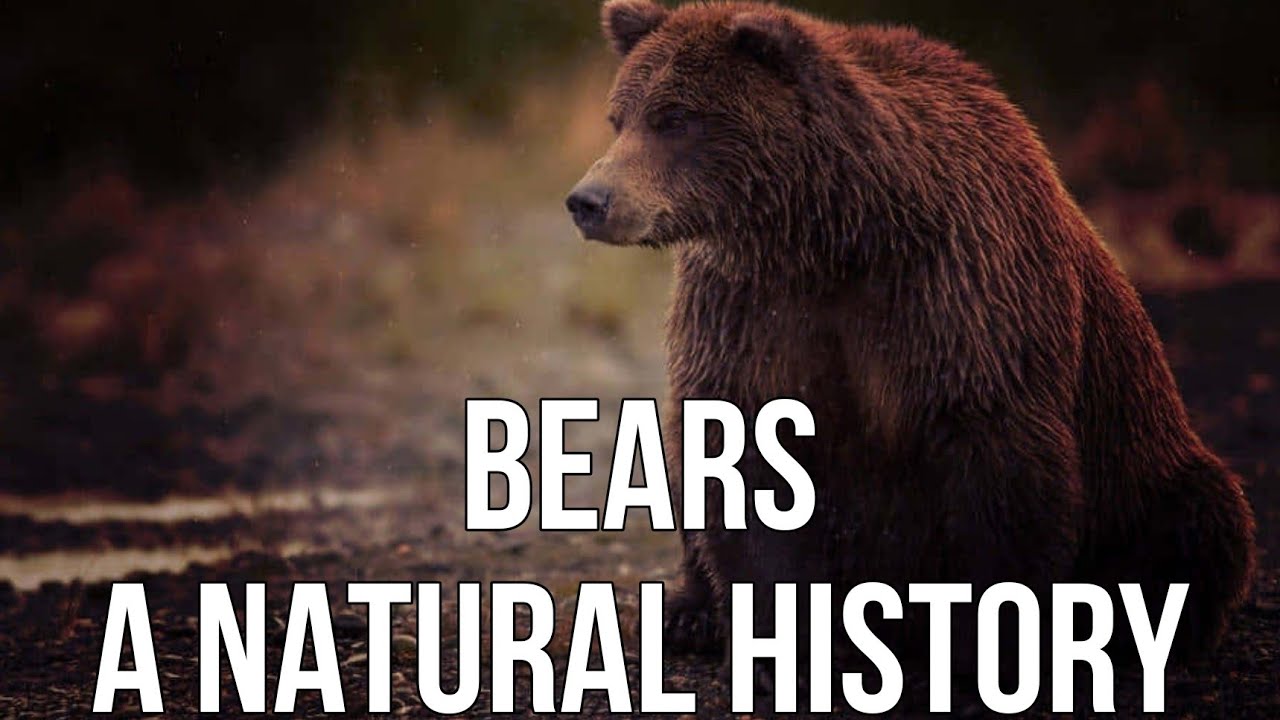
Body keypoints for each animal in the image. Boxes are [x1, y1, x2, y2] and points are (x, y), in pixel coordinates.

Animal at [566, 0, 1256, 687]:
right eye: (620, 118)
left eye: (675, 118)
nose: (588, 200)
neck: (832, 236)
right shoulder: (751, 310)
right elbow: (742, 458)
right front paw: (773, 652)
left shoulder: (960, 296)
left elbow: (1001, 474)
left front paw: (990, 655)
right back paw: (689, 615)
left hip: (1143, 469)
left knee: (1194, 525)